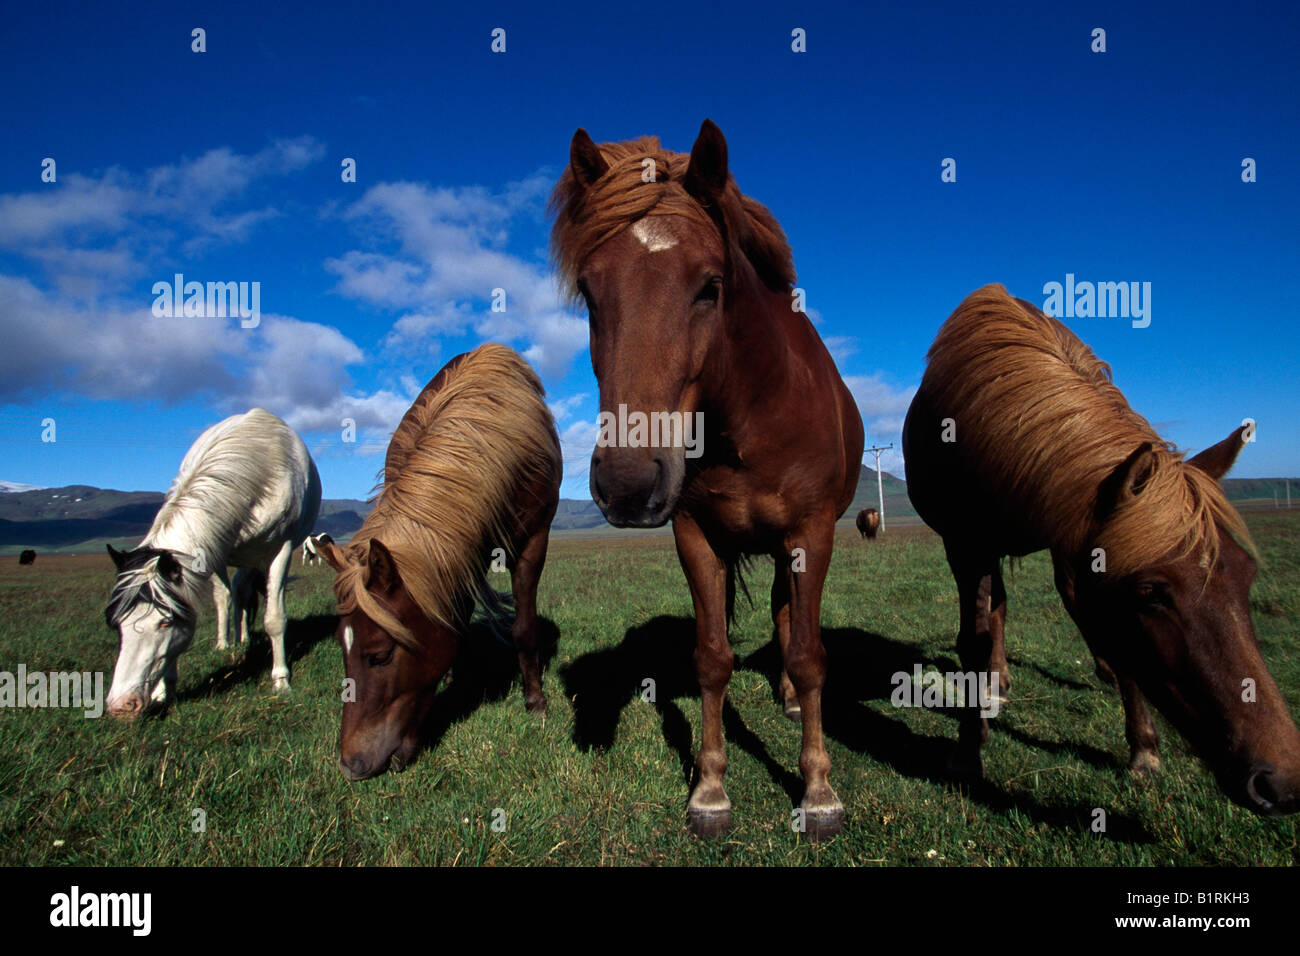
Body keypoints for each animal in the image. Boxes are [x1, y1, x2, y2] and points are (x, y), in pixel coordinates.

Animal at [104, 408, 321, 716]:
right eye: (117, 624)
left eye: (165, 623)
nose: (121, 706)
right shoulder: (212, 549)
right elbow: (218, 599)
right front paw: (164, 690)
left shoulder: (282, 549)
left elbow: (275, 619)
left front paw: (281, 681)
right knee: (233, 594)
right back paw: (231, 641)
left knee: (243, 590)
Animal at [551, 119, 864, 839]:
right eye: (590, 294)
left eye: (709, 286)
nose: (627, 483)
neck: (751, 416)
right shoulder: (695, 536)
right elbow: (712, 658)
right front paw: (710, 790)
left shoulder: (811, 533)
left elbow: (810, 655)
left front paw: (818, 791)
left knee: (789, 622)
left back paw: (789, 702)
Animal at [902, 284, 1300, 814]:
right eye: (1150, 591)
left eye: (1248, 574)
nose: (1283, 781)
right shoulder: (964, 544)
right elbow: (974, 638)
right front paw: (969, 747)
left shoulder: (1078, 542)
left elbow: (1096, 623)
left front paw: (1144, 747)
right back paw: (995, 685)